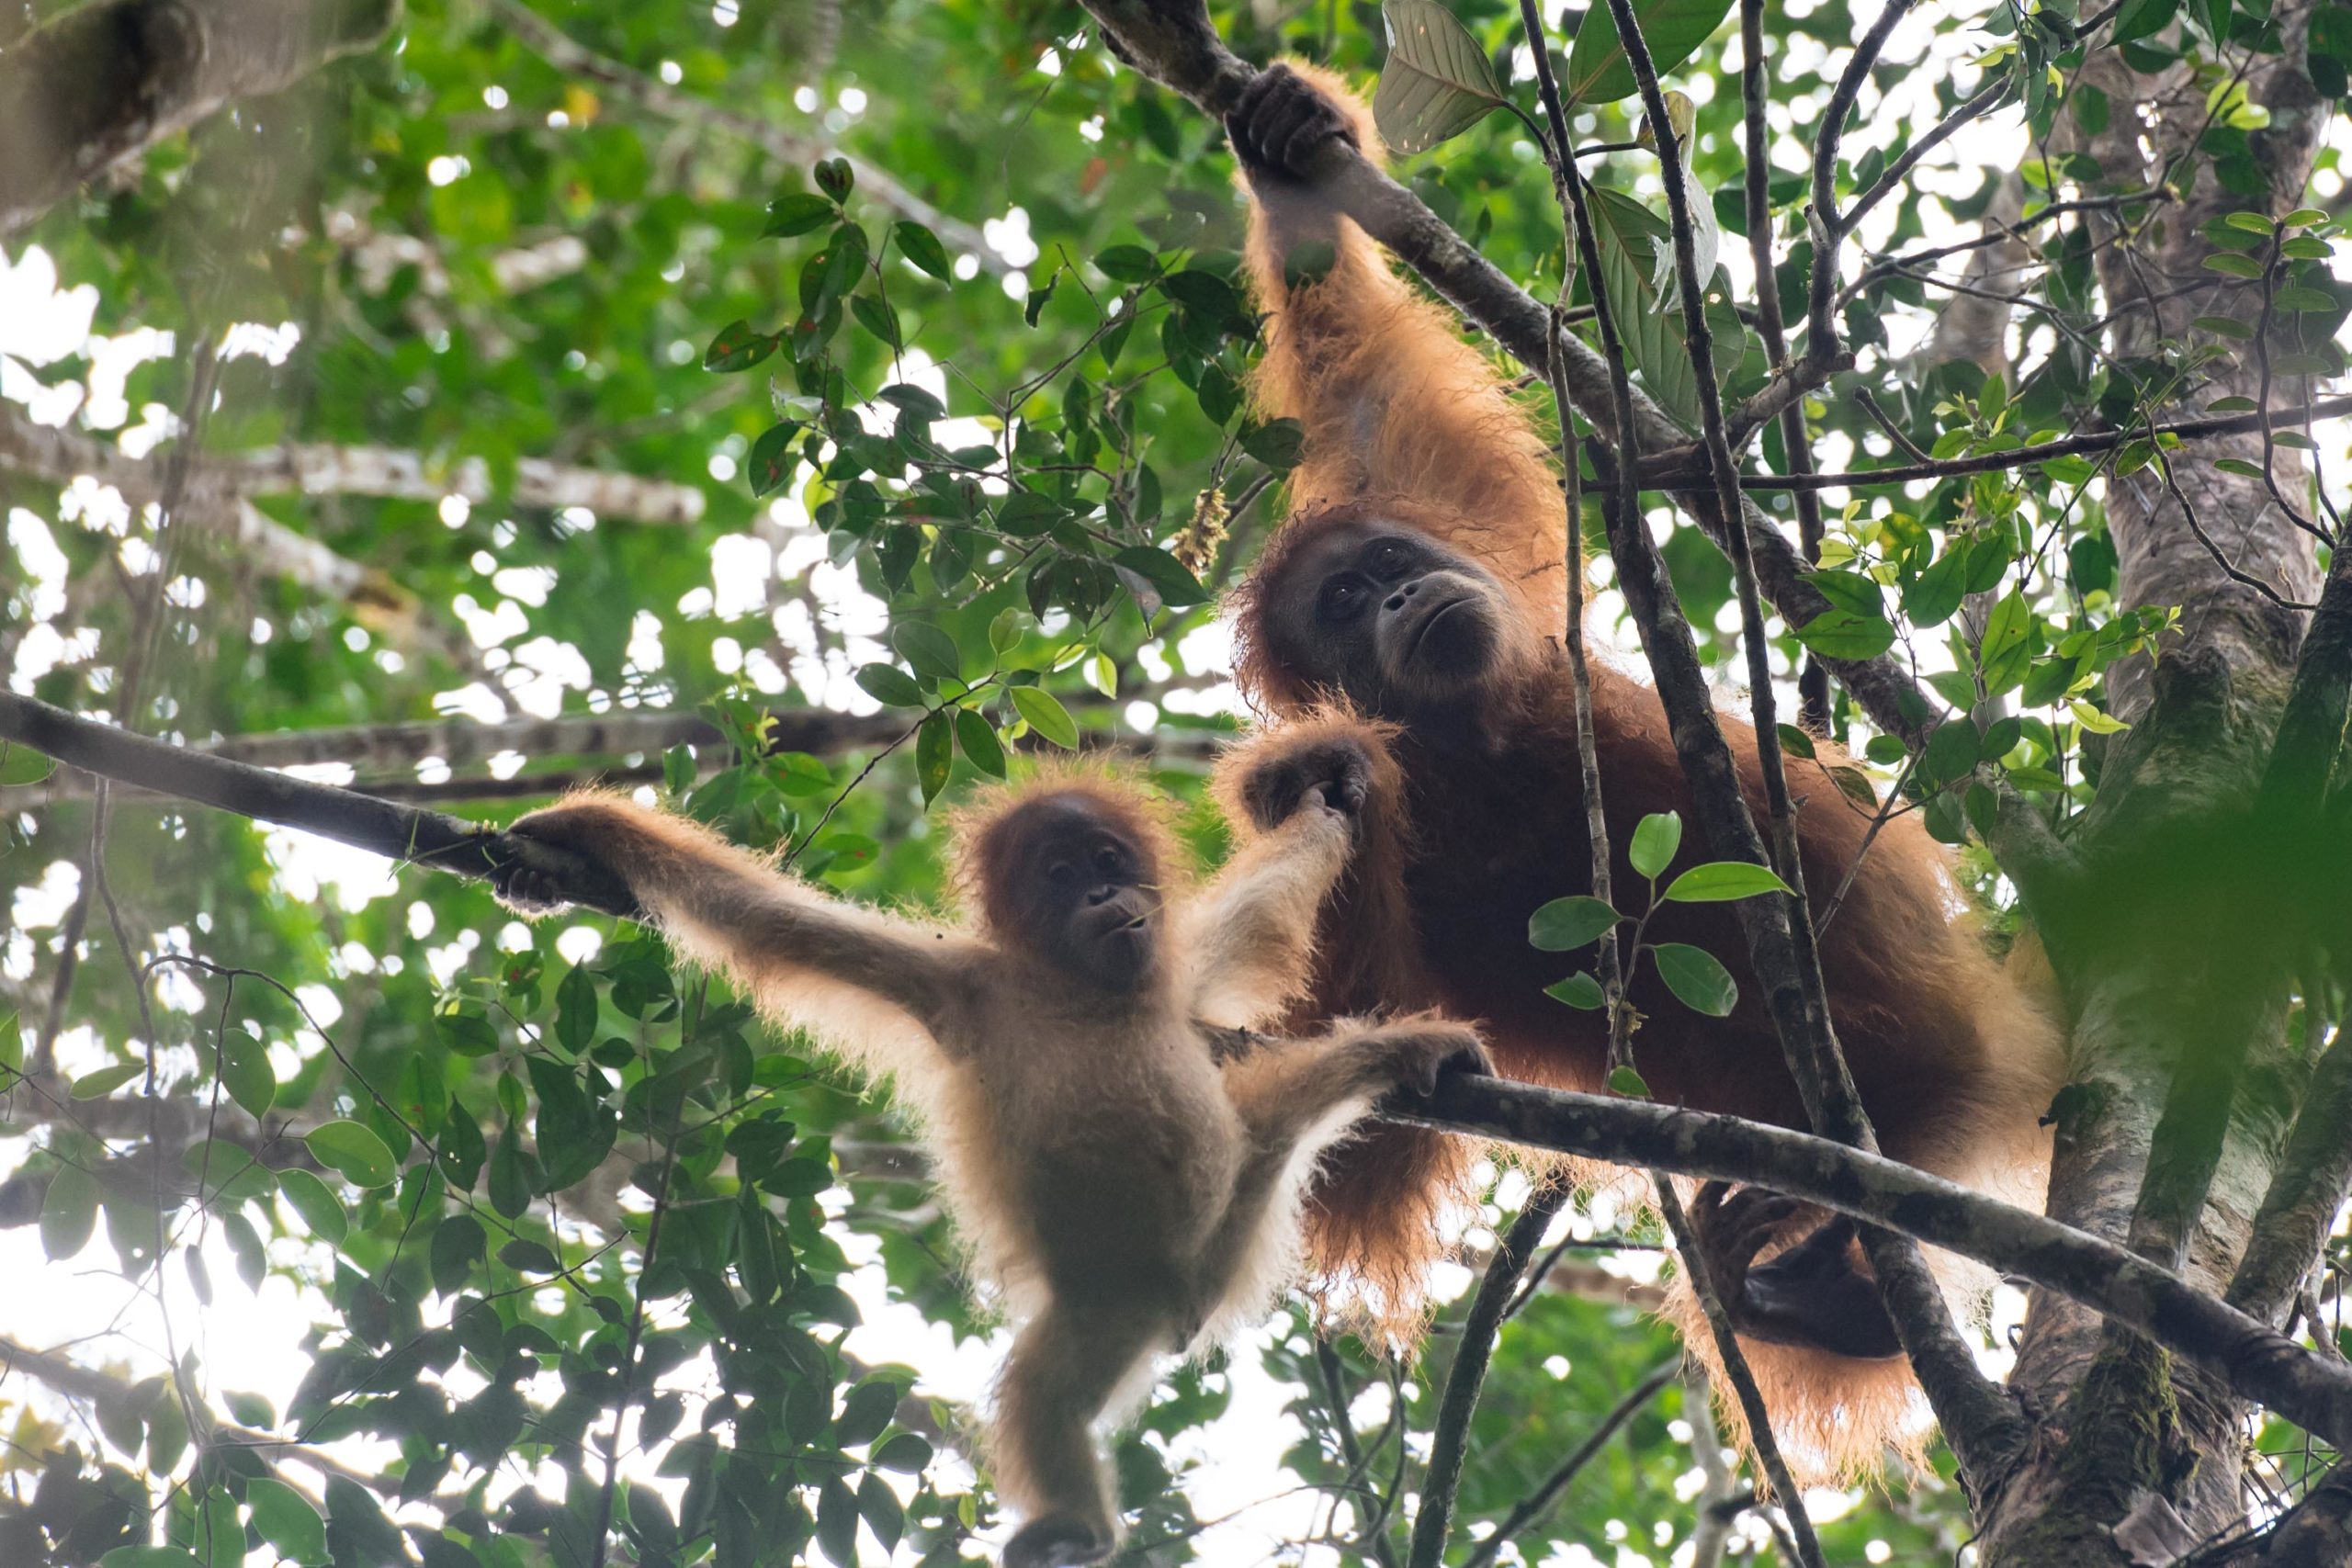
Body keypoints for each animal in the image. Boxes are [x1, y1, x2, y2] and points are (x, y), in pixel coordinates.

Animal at [491, 767, 1491, 1567]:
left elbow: (1258, 911)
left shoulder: (1180, 980)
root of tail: (1185, 1308)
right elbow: (766, 920)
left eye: (1106, 858)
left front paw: (1328, 813)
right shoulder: (957, 985)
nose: (1105, 893)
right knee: (1046, 1397)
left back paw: (1400, 1053)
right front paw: (576, 831)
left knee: (1284, 1108)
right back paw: (1083, 1528)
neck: (1086, 997)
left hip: (1228, 1230)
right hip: (1108, 1309)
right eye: (1060, 876)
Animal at [1210, 61, 2068, 1481]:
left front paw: (1289, 161)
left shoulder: (1487, 554)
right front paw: (1312, 774)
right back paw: (1808, 1306)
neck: (1491, 748)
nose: (1399, 598)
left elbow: (1368, 390)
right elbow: (1358, 1143)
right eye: (1342, 608)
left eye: (1383, 566)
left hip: (1948, 1061)